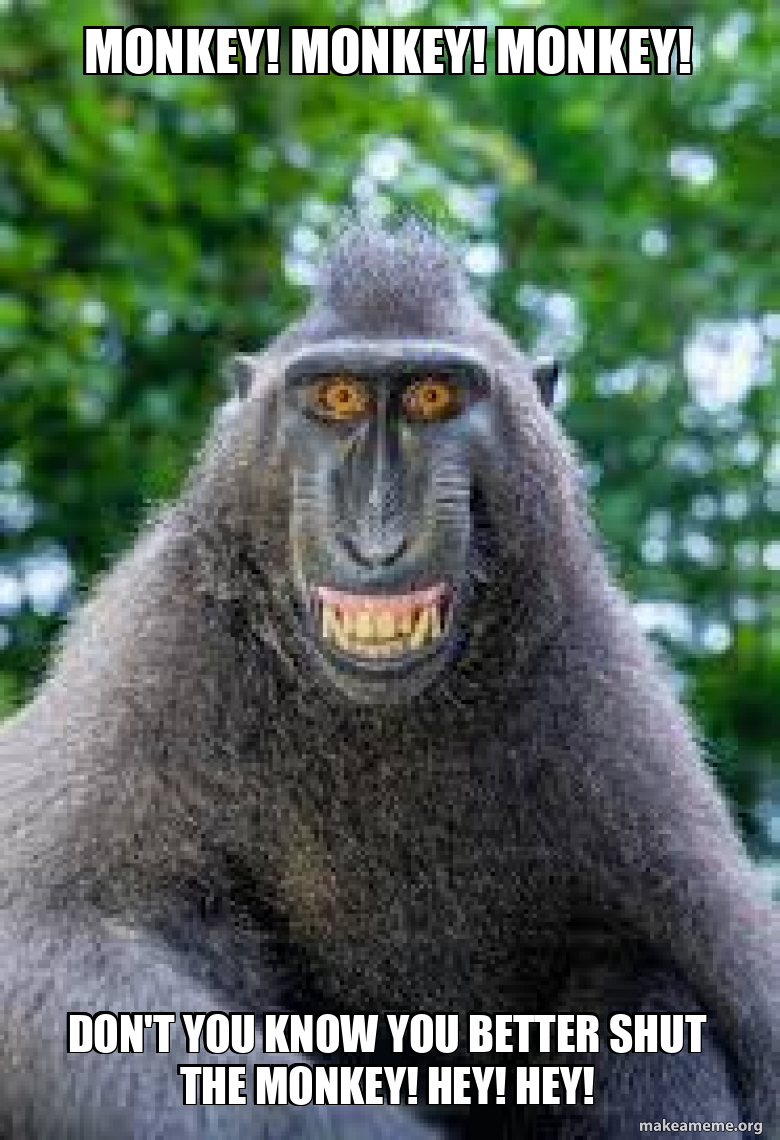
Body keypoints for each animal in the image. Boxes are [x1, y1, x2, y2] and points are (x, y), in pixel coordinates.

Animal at [0, 220, 777, 1140]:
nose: (377, 532)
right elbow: (54, 936)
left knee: (640, 980)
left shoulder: (605, 691)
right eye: (337, 398)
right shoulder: (152, 645)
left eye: (434, 398)